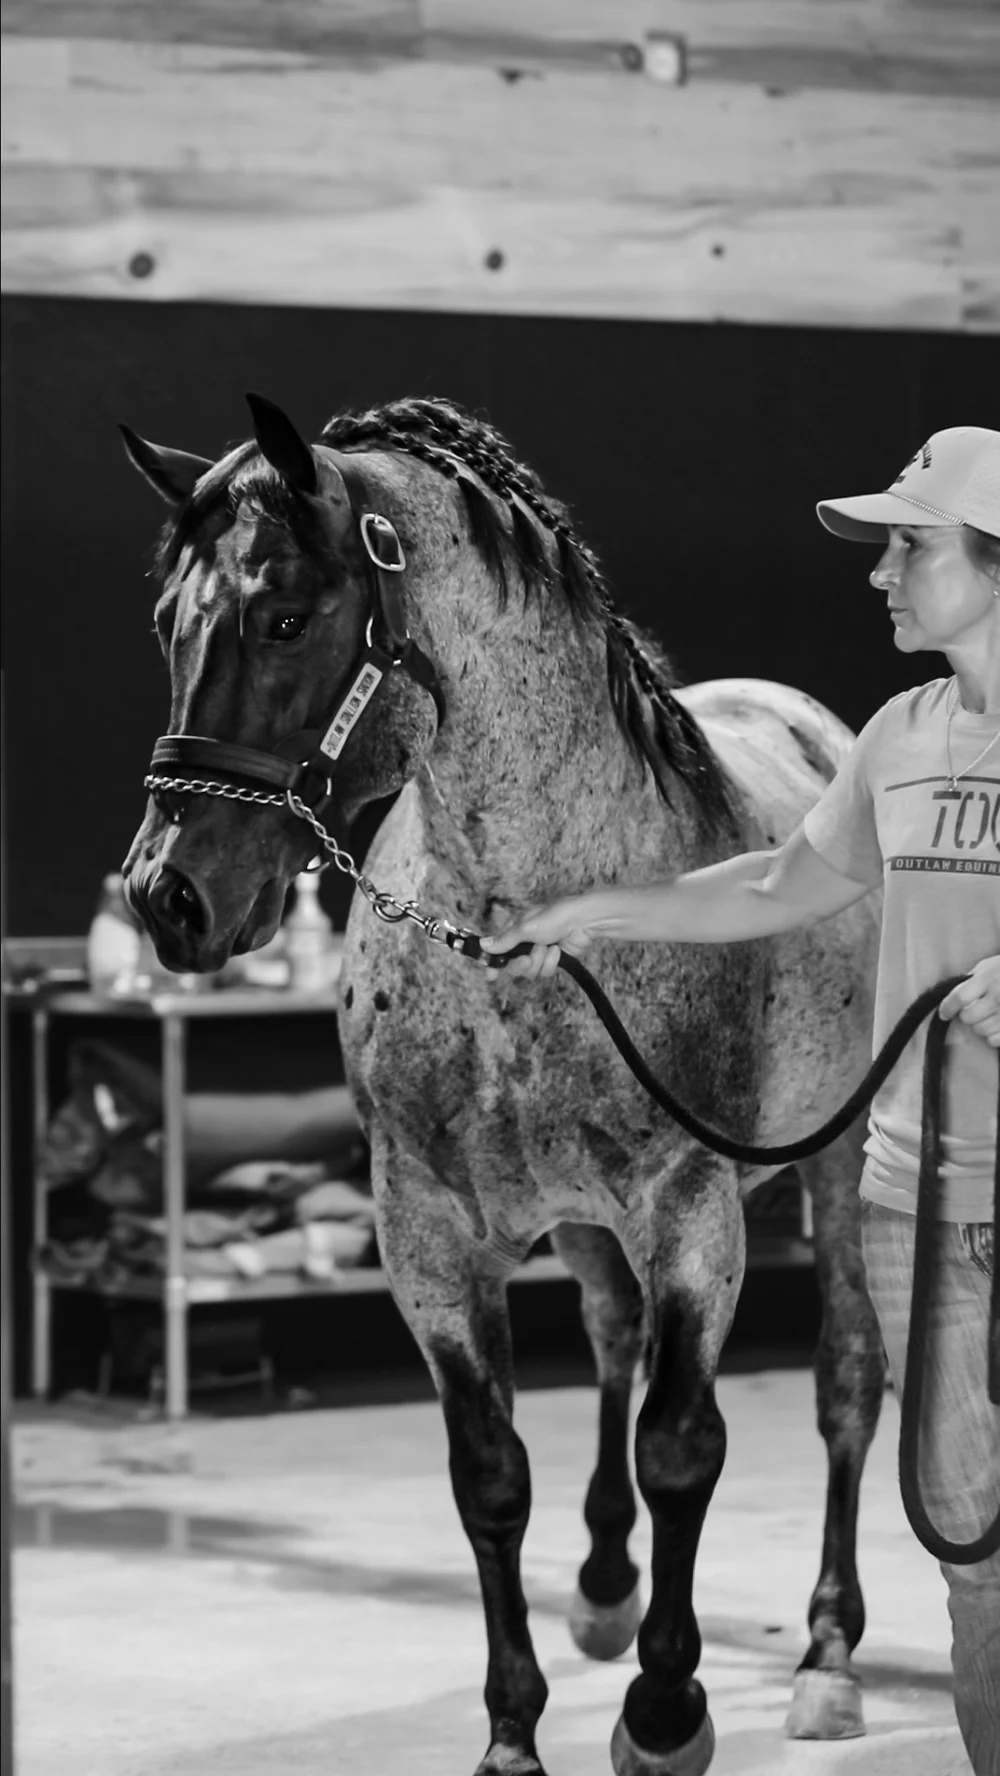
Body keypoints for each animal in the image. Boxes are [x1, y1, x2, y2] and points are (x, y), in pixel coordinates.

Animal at [122, 394, 886, 1776]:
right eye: (167, 622)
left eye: (284, 616)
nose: (168, 894)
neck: (521, 925)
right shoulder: (426, 1232)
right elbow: (491, 1473)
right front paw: (516, 1731)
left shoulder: (692, 1210)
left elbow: (682, 1445)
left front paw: (664, 1714)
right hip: (579, 1223)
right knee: (613, 1339)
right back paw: (603, 1590)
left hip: (837, 1163)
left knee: (846, 1372)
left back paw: (825, 1655)